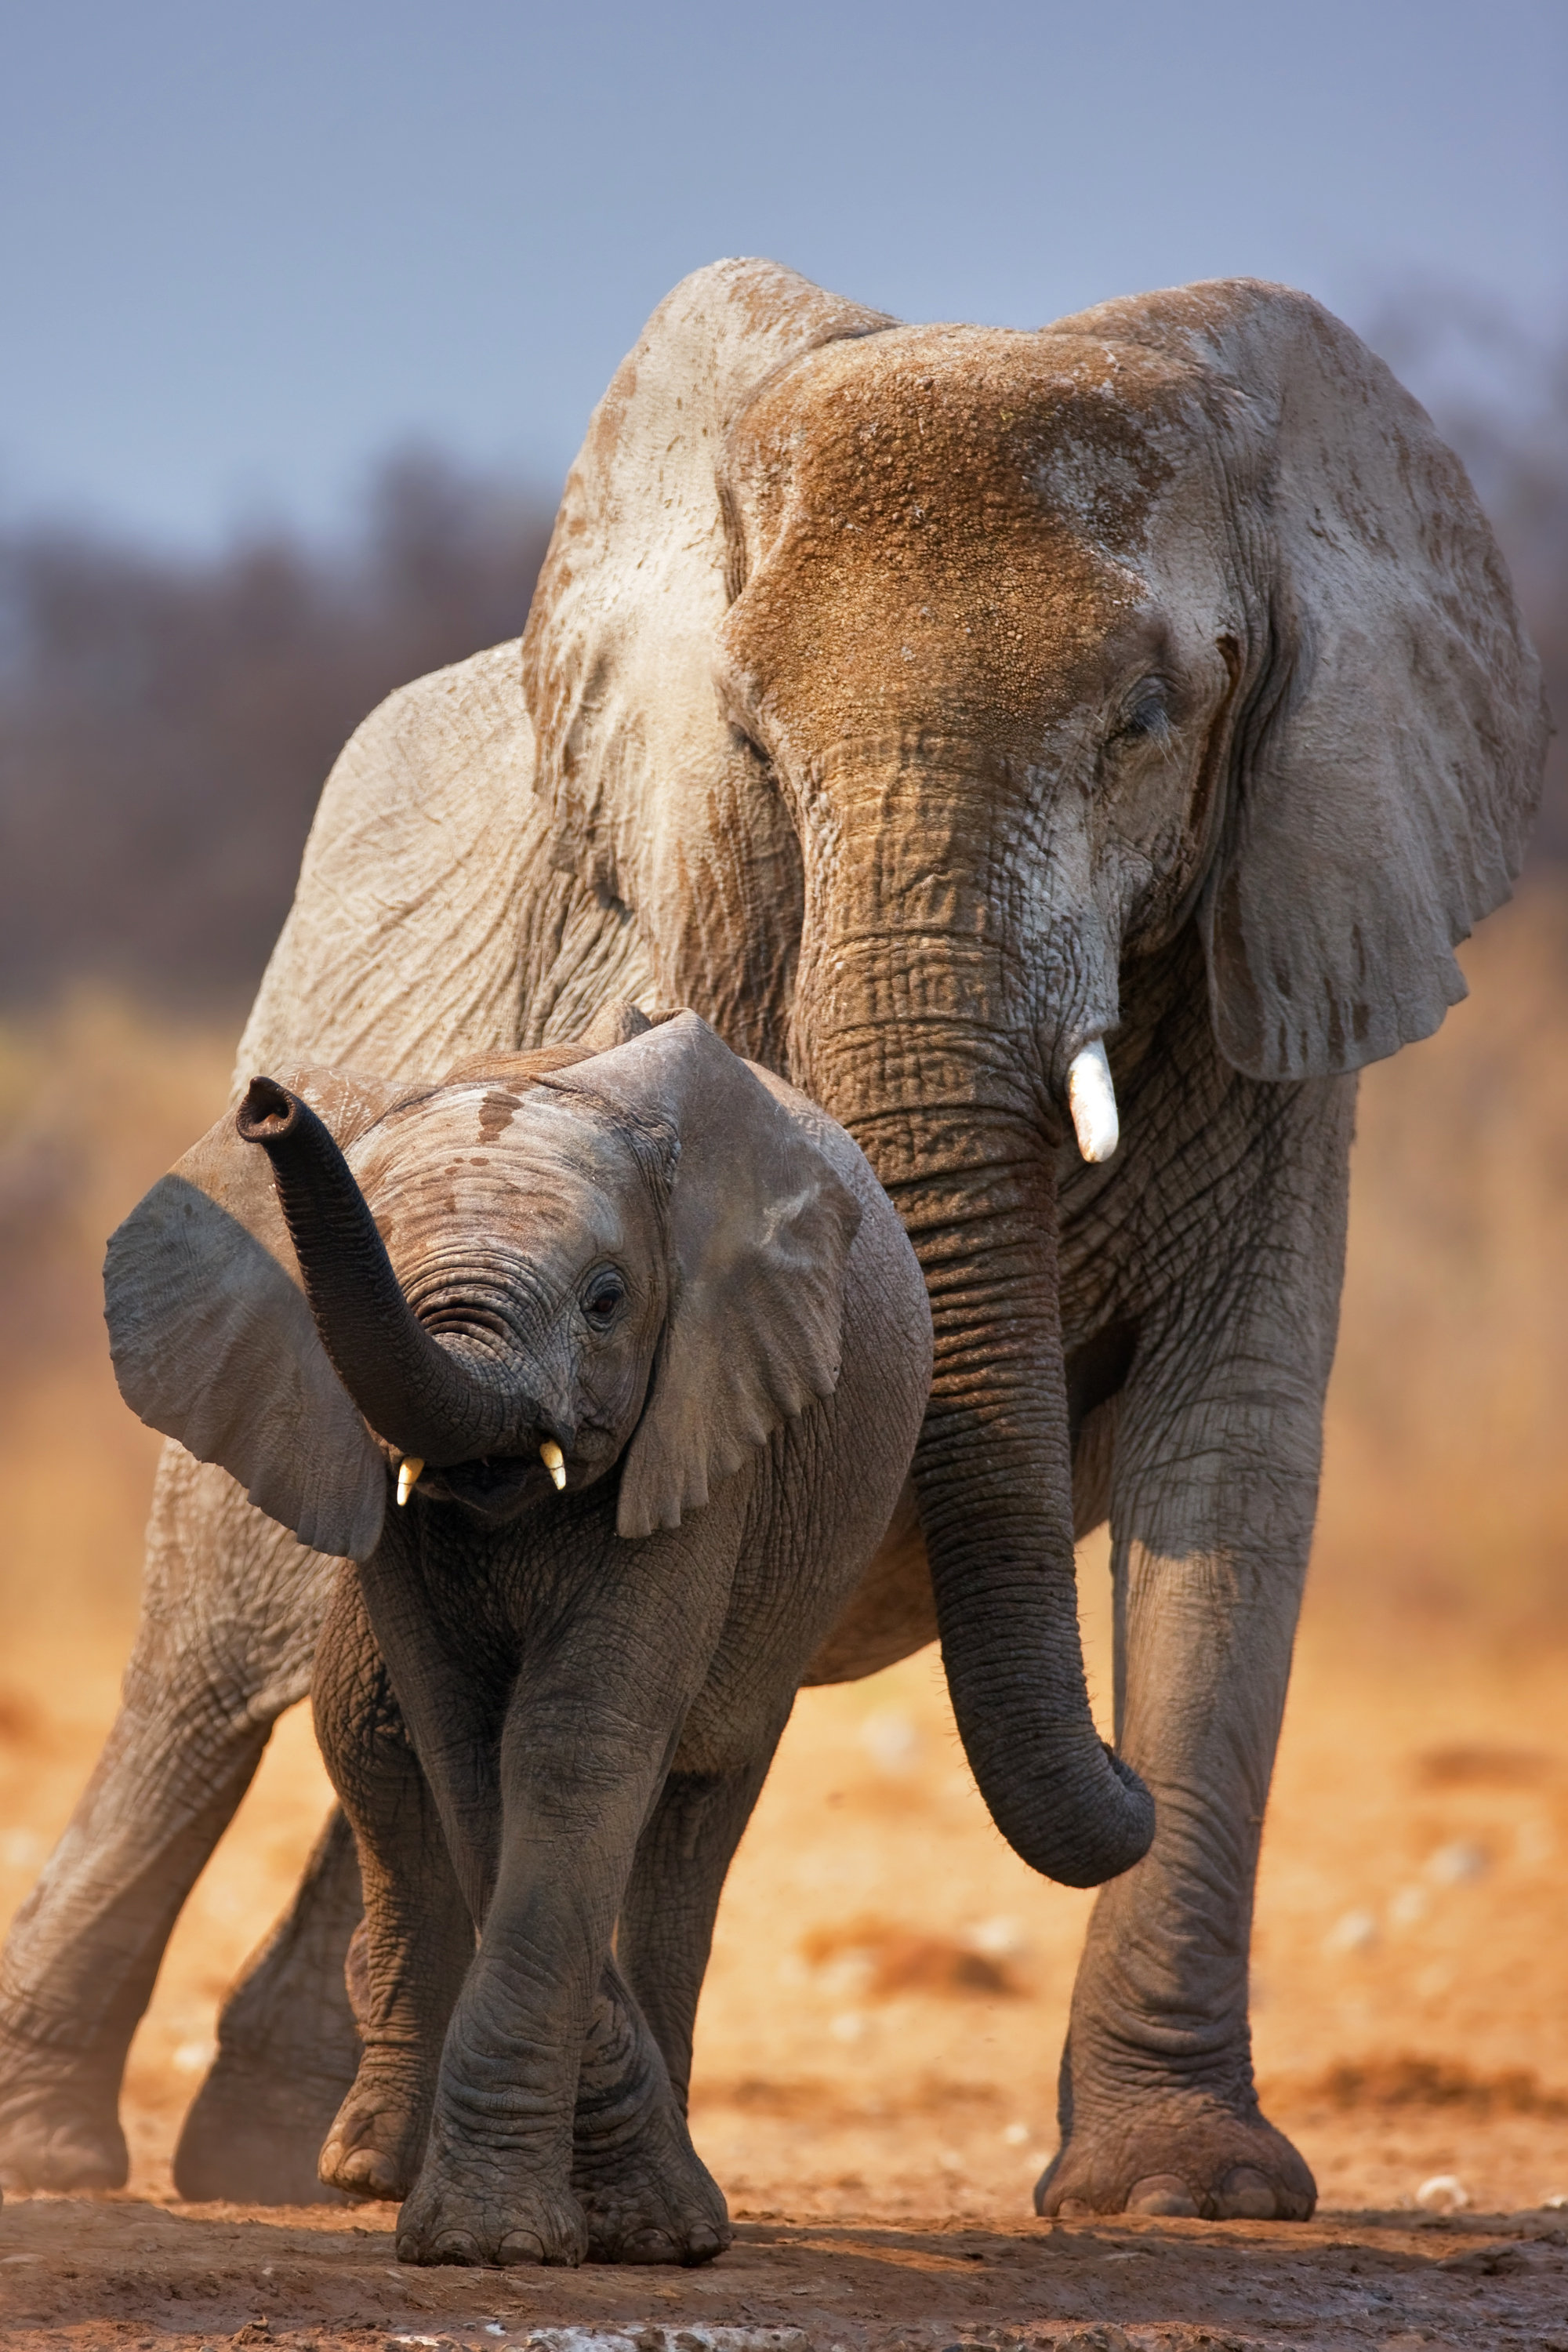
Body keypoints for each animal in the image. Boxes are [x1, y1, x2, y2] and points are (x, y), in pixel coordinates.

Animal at [101, 1008, 931, 2263]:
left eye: (607, 1299)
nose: (270, 1107)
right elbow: (466, 1746)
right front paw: (533, 2228)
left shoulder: (702, 1421)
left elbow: (571, 1741)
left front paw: (602, 2234)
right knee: (383, 1756)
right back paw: (372, 2173)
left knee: (697, 1809)